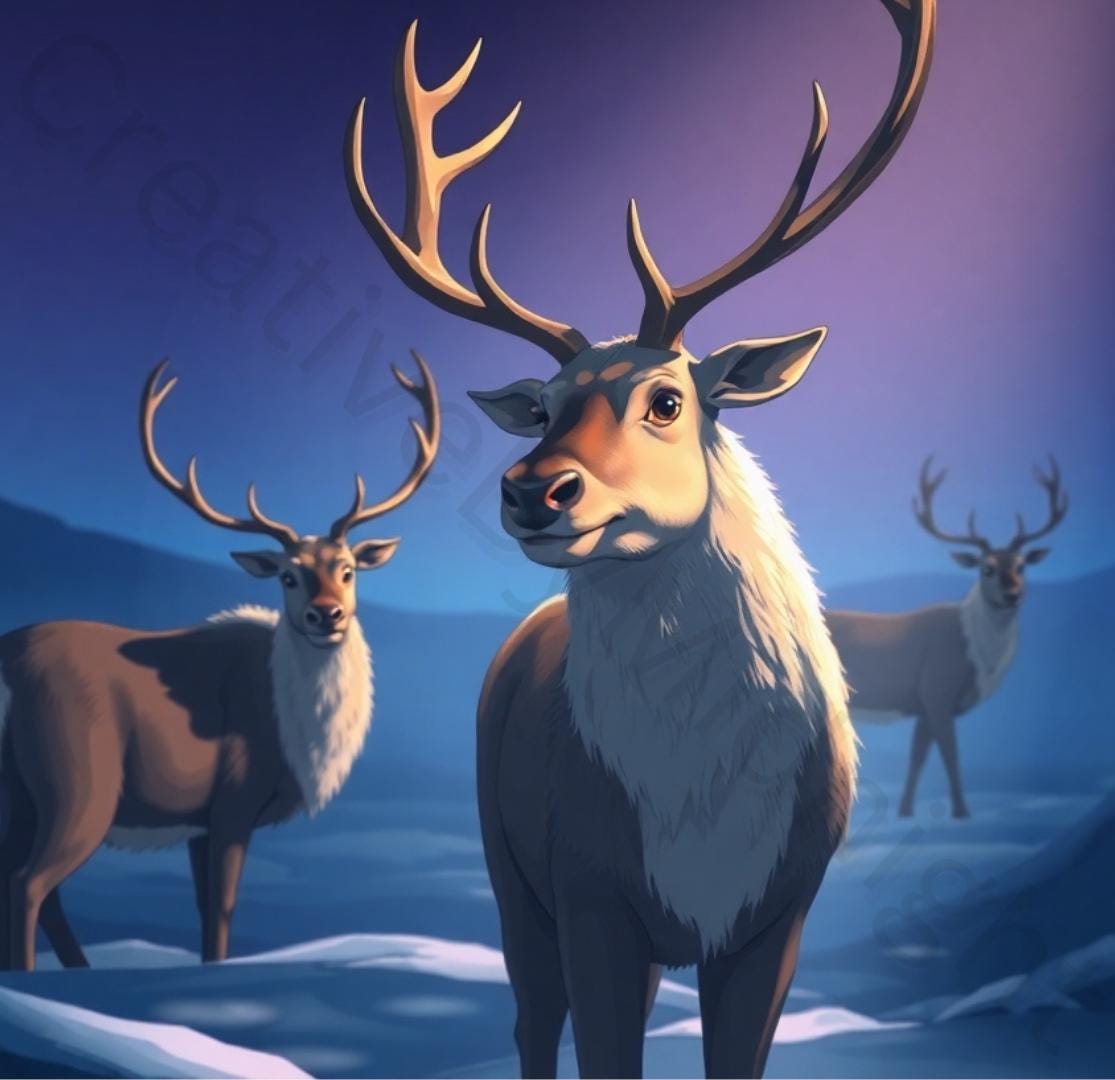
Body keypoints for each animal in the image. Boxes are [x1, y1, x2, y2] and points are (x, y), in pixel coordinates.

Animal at [0, 355, 439, 972]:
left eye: (348, 569)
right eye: (288, 576)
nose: (325, 614)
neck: (299, 736)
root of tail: (7, 665)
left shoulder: (199, 823)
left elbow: (205, 907)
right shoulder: (233, 799)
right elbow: (225, 905)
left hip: (18, 788)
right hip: (78, 780)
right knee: (30, 882)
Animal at [345, 3, 933, 1075]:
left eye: (667, 399)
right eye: (542, 408)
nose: (532, 489)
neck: (699, 818)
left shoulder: (778, 911)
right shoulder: (588, 889)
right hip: (508, 871)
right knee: (532, 1021)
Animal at [826, 456, 1067, 820]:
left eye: (1022, 565)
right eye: (987, 568)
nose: (1012, 595)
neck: (978, 657)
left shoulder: (924, 706)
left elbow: (918, 756)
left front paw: (905, 811)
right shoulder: (937, 691)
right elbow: (951, 754)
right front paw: (961, 812)